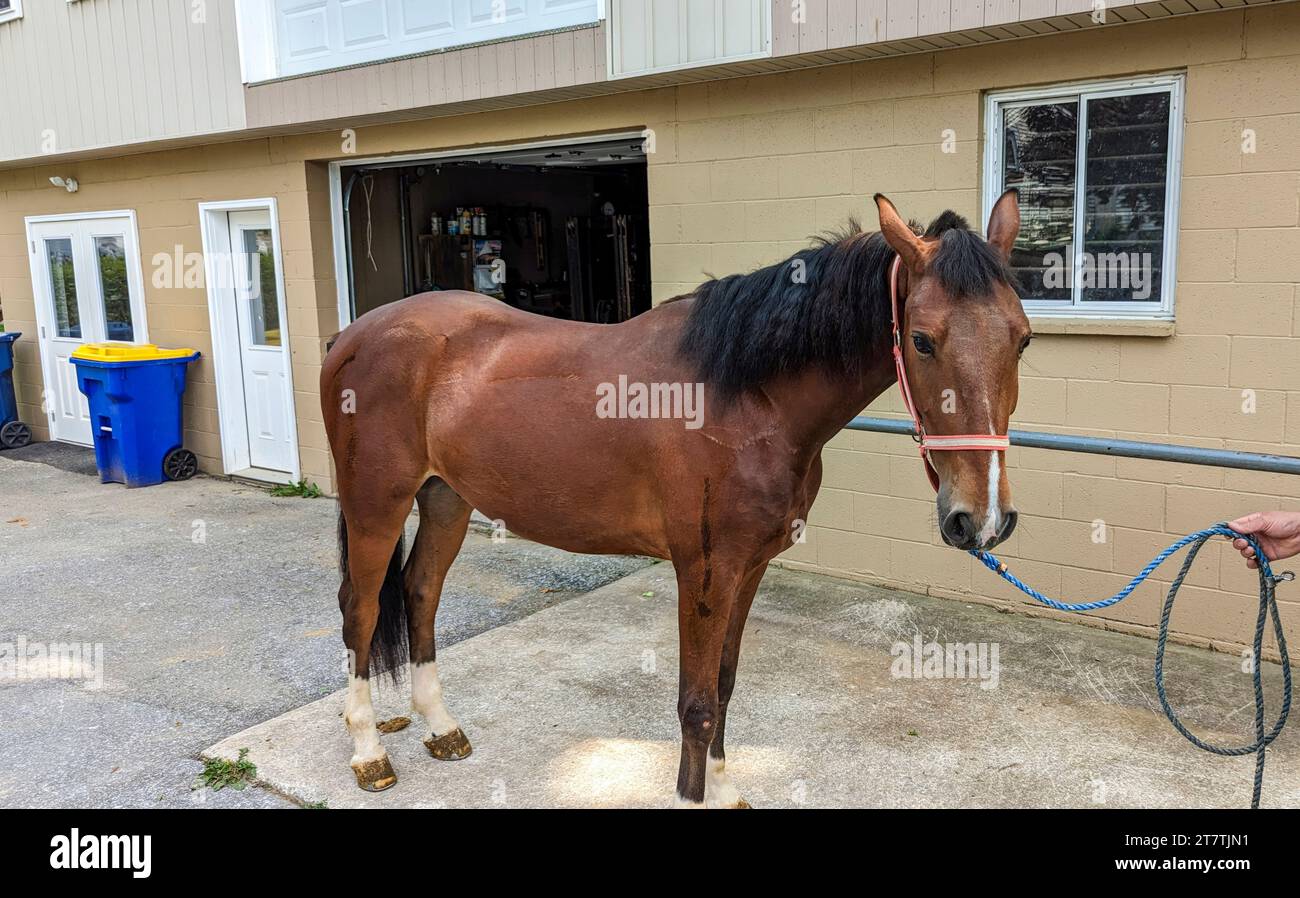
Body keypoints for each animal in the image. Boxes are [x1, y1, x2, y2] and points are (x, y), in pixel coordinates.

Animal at [321, 191, 1031, 806]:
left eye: (1022, 338)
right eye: (922, 340)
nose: (982, 520)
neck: (747, 395)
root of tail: (351, 335)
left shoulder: (750, 566)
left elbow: (723, 686)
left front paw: (715, 785)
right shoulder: (705, 570)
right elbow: (697, 701)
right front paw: (701, 793)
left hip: (446, 497)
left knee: (420, 591)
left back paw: (441, 727)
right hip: (376, 503)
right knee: (360, 610)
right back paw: (368, 755)